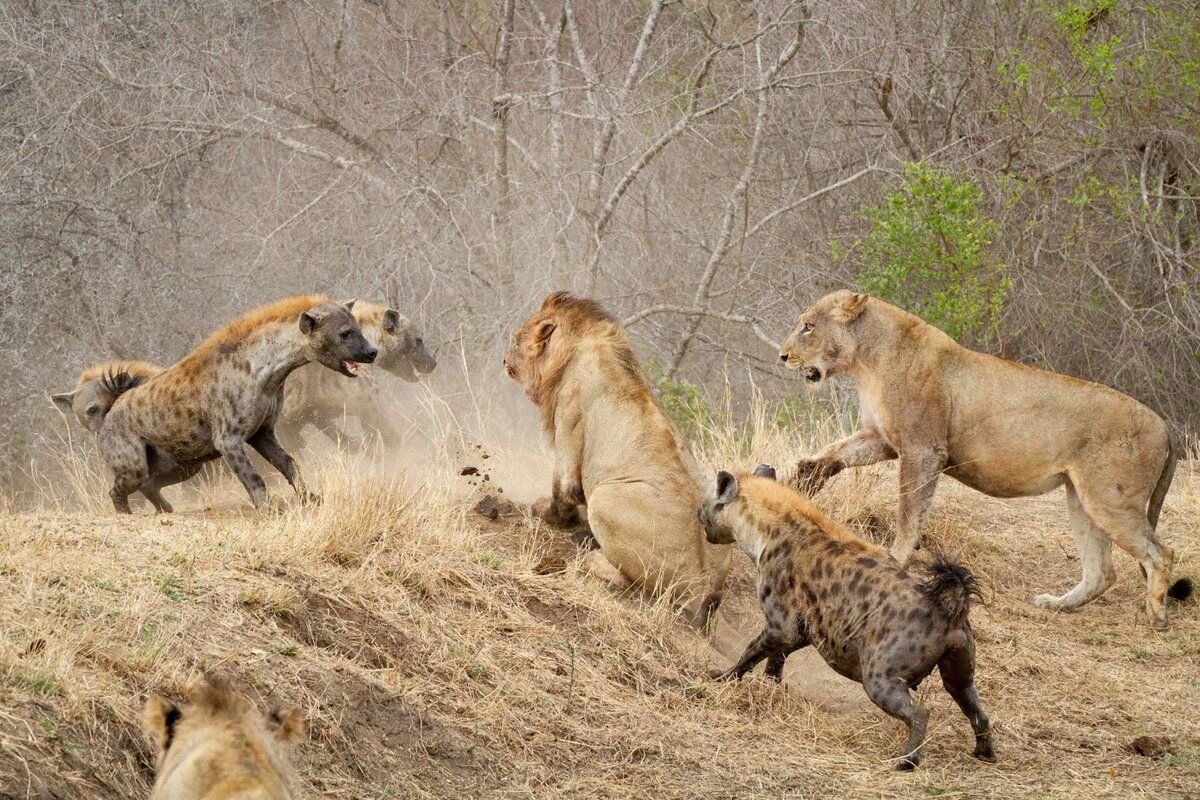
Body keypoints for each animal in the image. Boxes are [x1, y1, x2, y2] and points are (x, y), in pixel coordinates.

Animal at [499, 291, 724, 623]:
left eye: (516, 340)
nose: (504, 360)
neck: (574, 347)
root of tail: (702, 587)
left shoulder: (568, 424)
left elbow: (562, 491)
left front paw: (546, 514)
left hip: (605, 499)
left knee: (628, 581)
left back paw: (591, 553)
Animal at [782, 291, 1185, 628]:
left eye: (808, 326)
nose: (782, 356)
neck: (866, 359)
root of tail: (1164, 425)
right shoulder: (884, 438)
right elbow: (837, 451)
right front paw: (805, 477)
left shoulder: (923, 449)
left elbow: (909, 511)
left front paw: (896, 558)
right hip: (1082, 499)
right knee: (1102, 571)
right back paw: (1056, 604)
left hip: (1111, 499)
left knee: (1161, 552)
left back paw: (1156, 614)